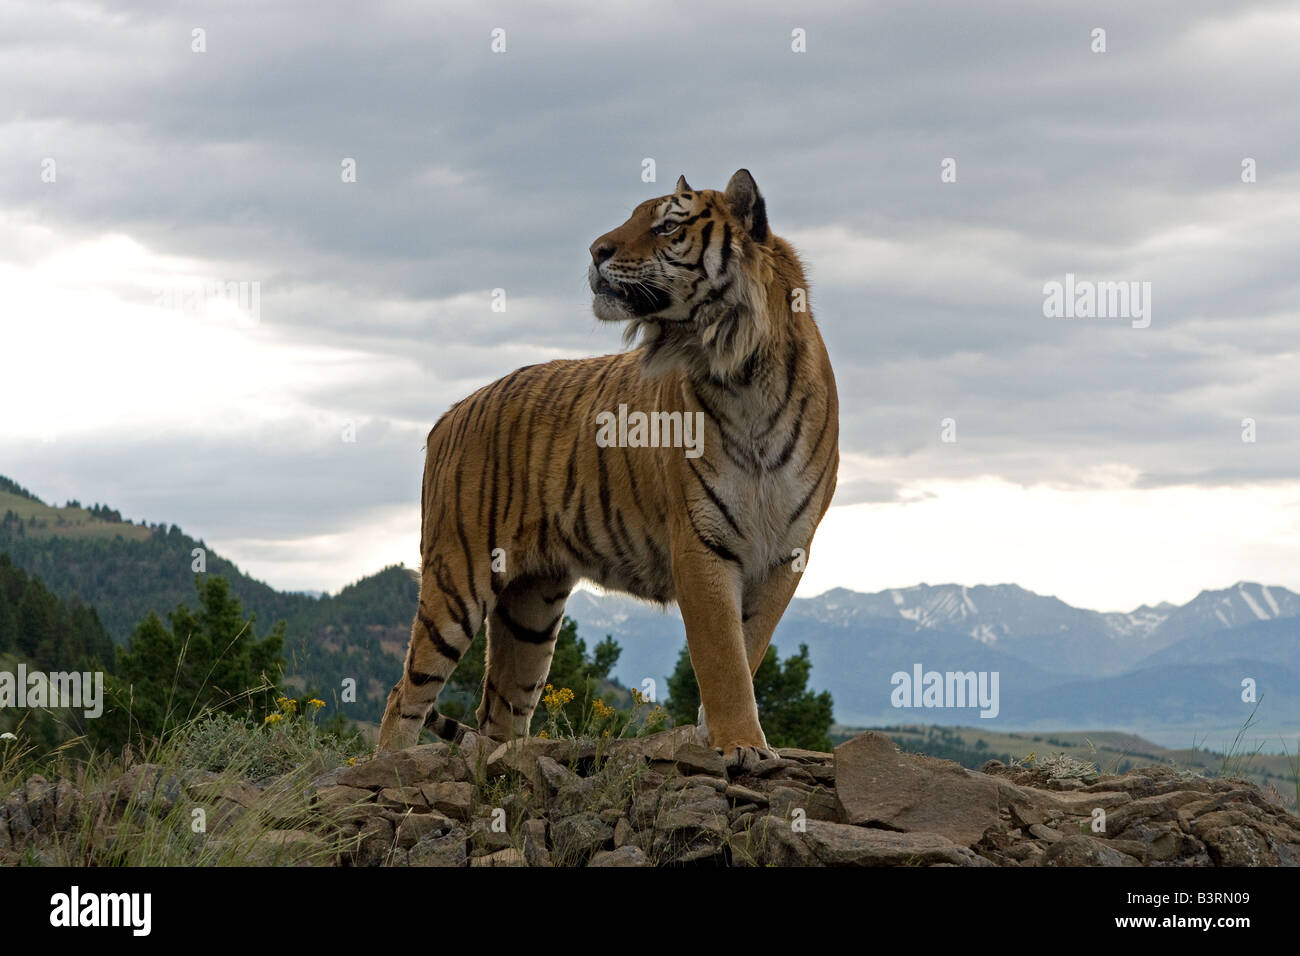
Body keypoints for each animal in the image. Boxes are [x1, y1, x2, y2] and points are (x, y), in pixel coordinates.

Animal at [378, 169, 839, 770]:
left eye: (667, 225)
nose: (595, 250)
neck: (744, 374)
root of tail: (449, 413)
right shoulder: (702, 544)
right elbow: (723, 659)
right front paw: (738, 744)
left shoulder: (785, 552)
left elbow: (748, 648)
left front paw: (722, 737)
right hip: (457, 579)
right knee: (403, 695)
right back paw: (383, 766)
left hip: (533, 608)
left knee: (499, 711)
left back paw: (503, 769)